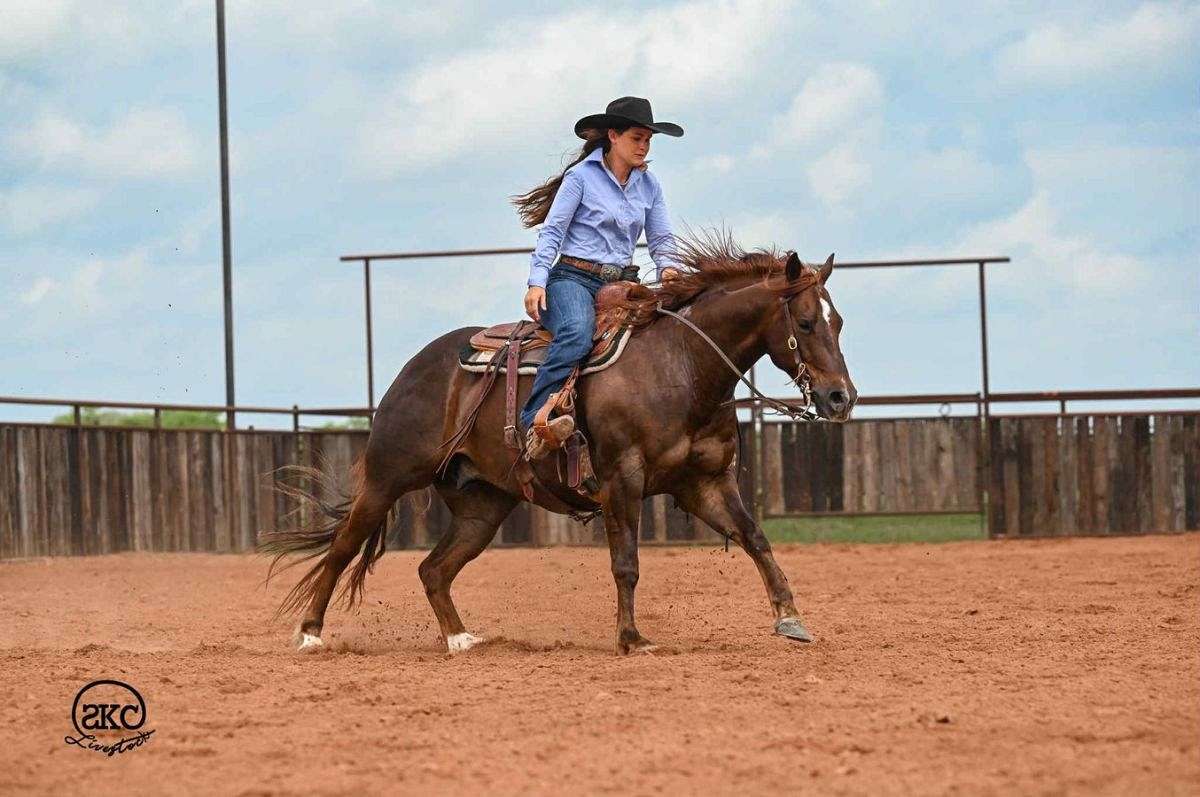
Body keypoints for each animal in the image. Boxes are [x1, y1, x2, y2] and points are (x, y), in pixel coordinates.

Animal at [260, 232, 857, 655]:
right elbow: (626, 562)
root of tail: (412, 370)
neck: (683, 366)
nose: (840, 397)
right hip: (387, 478)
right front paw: (631, 639)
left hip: (482, 504)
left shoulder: (705, 482)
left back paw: (460, 639)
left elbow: (756, 538)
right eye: (806, 322)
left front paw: (790, 619)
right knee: (344, 547)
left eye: (840, 322)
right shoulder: (622, 480)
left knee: (434, 569)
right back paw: (310, 633)